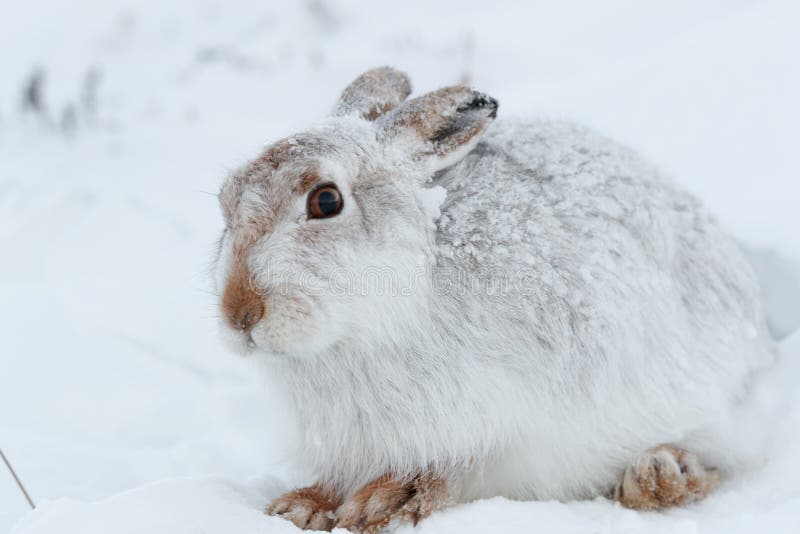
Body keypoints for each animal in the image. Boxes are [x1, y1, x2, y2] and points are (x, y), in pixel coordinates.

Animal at [214, 67, 775, 532]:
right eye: (226, 202)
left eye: (326, 200)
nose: (239, 314)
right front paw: (300, 506)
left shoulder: (519, 431)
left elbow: (463, 472)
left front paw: (385, 501)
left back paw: (659, 475)